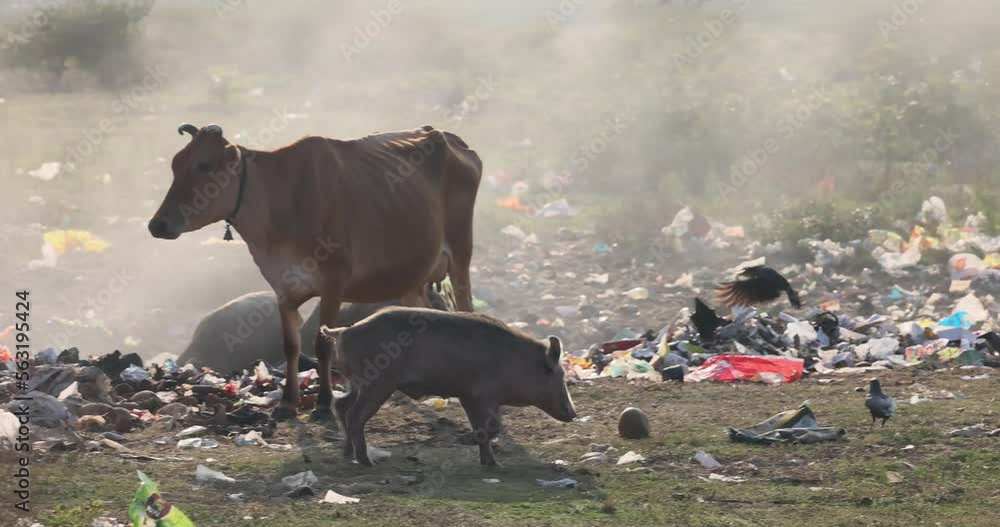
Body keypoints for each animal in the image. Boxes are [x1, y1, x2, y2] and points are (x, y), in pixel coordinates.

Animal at [320, 307, 577, 467]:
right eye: (556, 374)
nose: (573, 413)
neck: (516, 362)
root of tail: (343, 330)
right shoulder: (482, 395)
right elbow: (492, 428)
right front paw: (467, 442)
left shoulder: (467, 397)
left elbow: (484, 428)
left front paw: (492, 464)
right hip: (377, 384)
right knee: (353, 414)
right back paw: (366, 461)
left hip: (357, 383)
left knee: (341, 404)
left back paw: (348, 453)